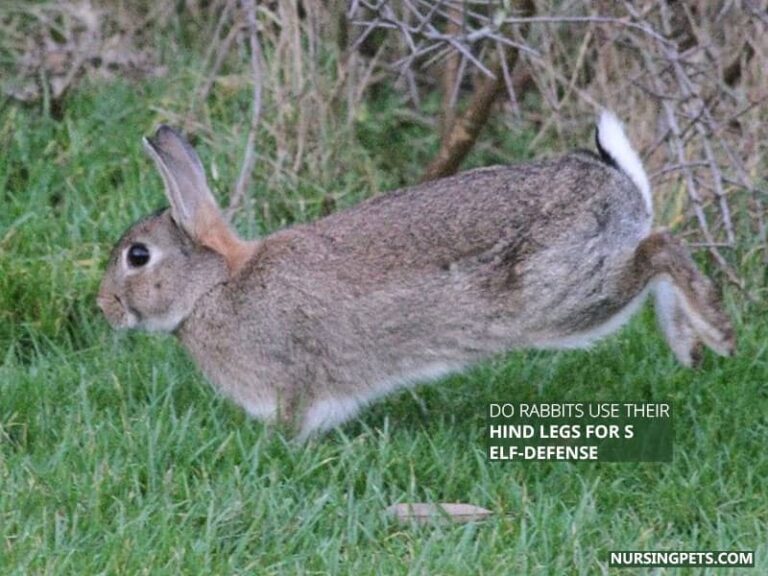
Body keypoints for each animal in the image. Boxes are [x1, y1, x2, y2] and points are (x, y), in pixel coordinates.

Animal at [97, 111, 735, 439]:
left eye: (138, 256)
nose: (104, 308)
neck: (215, 285)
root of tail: (617, 180)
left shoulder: (290, 381)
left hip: (566, 295)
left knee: (662, 249)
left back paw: (718, 331)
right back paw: (688, 346)